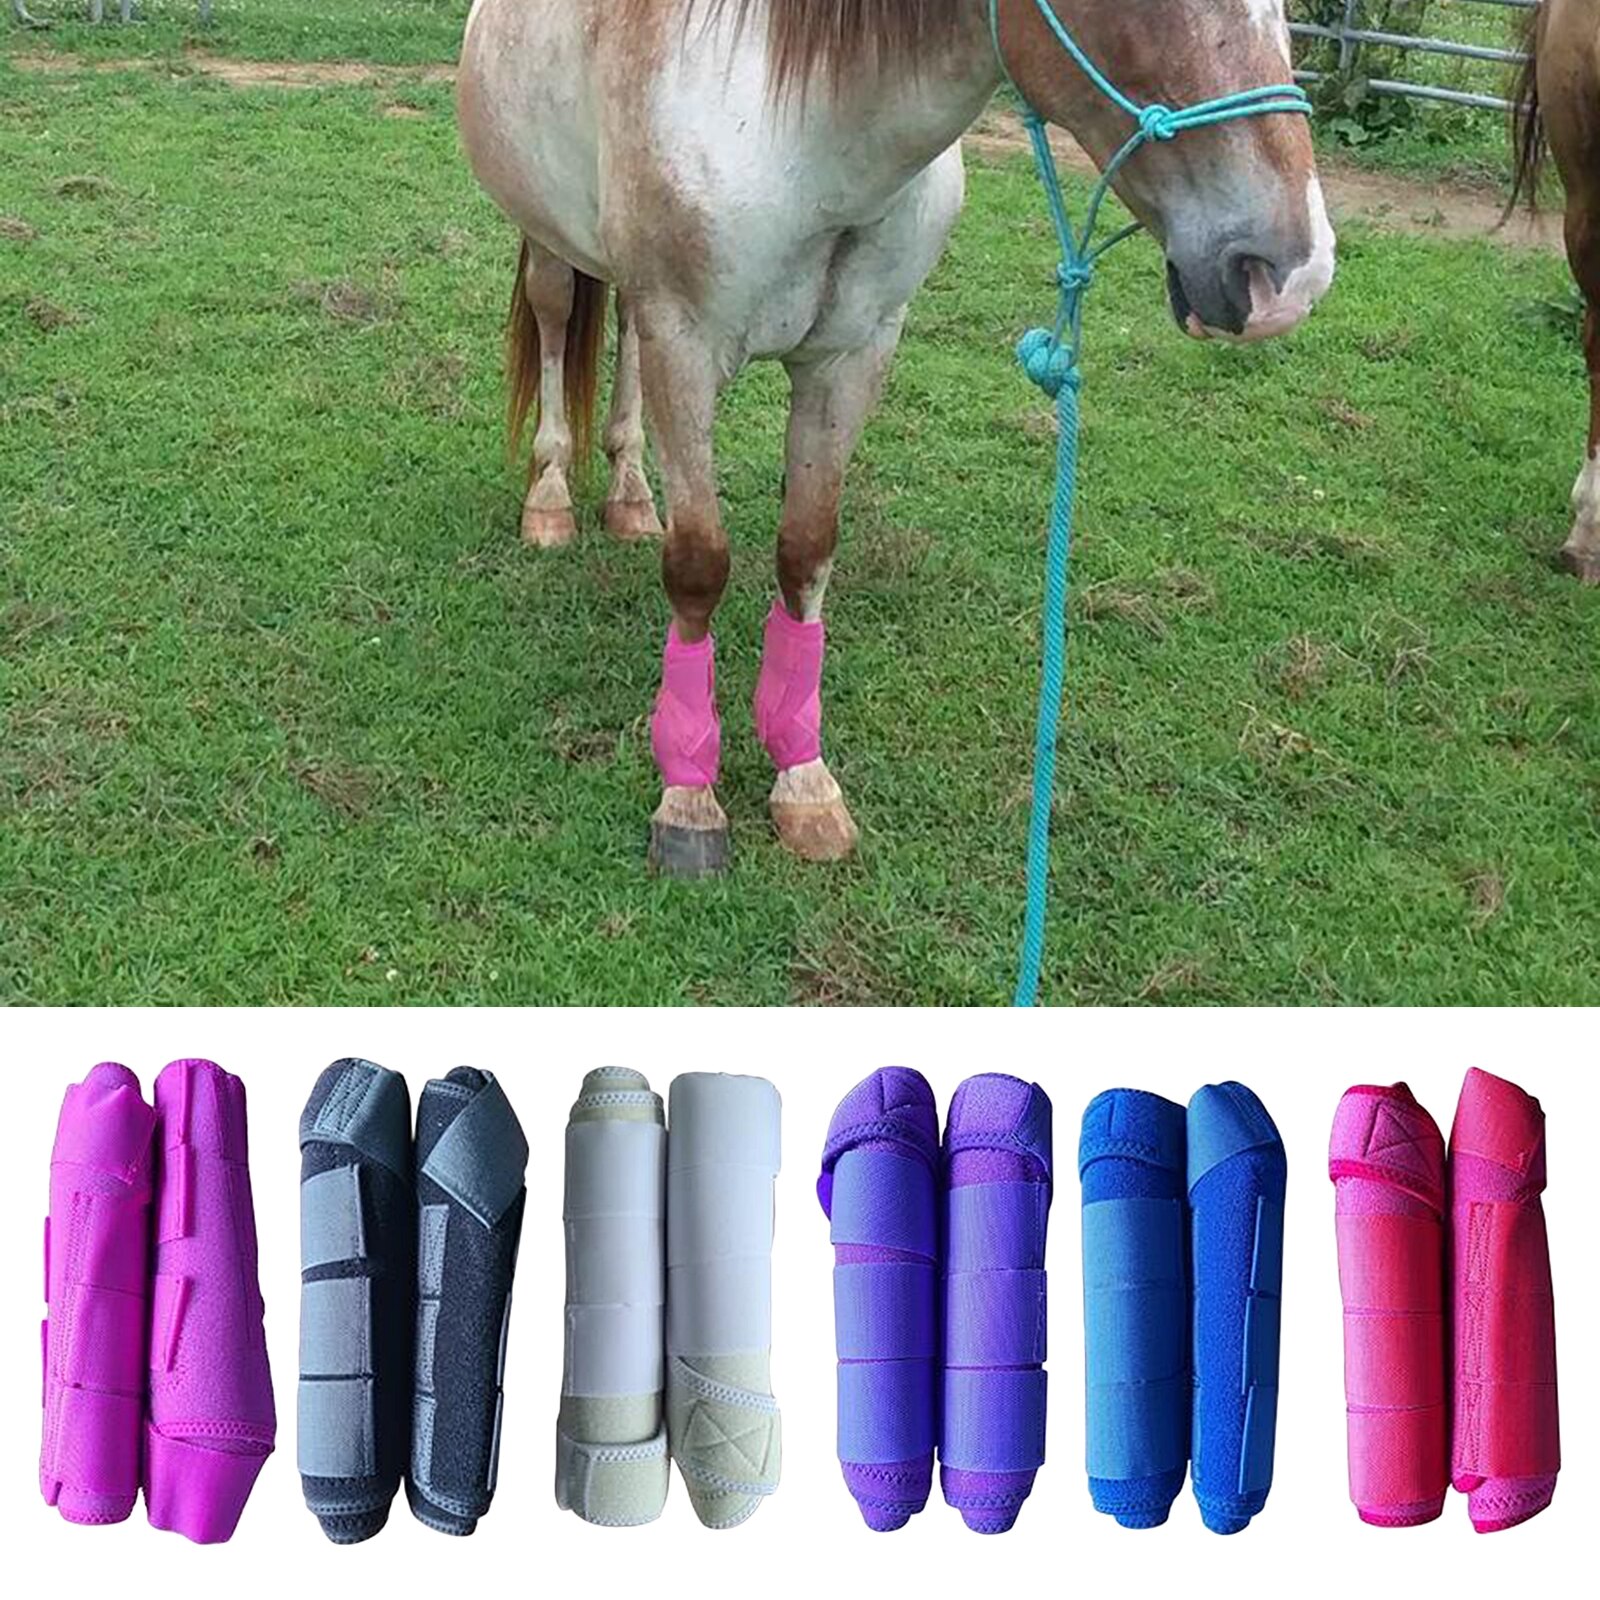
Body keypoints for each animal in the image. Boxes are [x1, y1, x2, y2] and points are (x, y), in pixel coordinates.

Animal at [457, 0, 1336, 877]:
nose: (1292, 274)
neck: (811, 141)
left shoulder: (853, 356)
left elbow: (806, 552)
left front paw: (803, 780)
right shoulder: (687, 339)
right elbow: (700, 565)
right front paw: (689, 795)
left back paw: (633, 497)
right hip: (552, 239)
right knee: (556, 315)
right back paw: (551, 501)